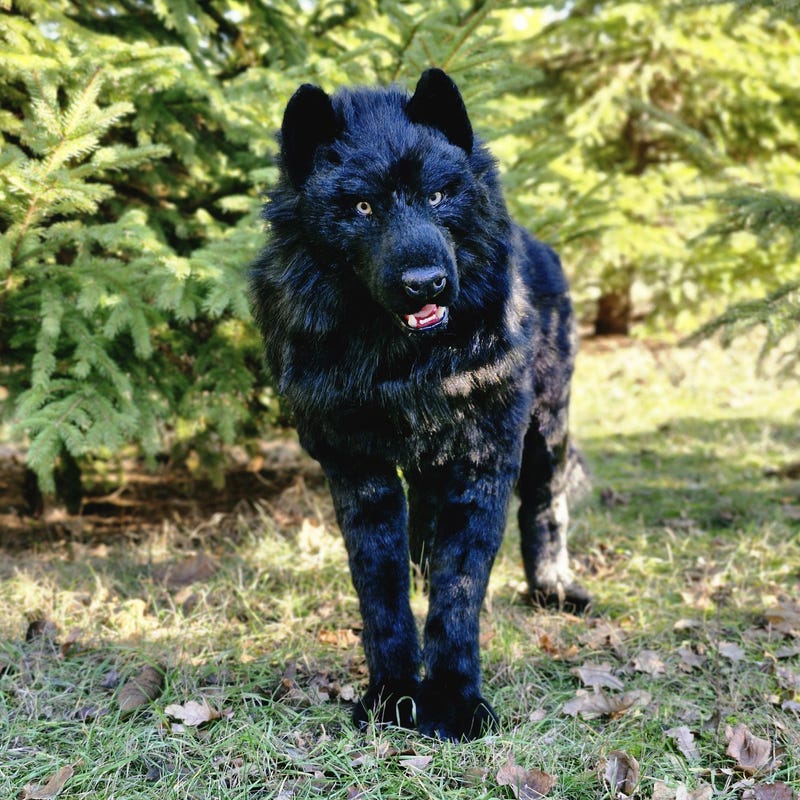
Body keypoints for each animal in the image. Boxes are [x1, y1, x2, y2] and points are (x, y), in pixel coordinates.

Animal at [250, 68, 589, 741]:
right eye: (362, 206)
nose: (425, 283)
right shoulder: (358, 467)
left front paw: (455, 700)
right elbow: (380, 590)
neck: (399, 361)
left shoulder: (484, 456)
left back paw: (554, 588)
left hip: (548, 431)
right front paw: (393, 694)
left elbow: (460, 590)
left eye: (436, 197)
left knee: (546, 508)